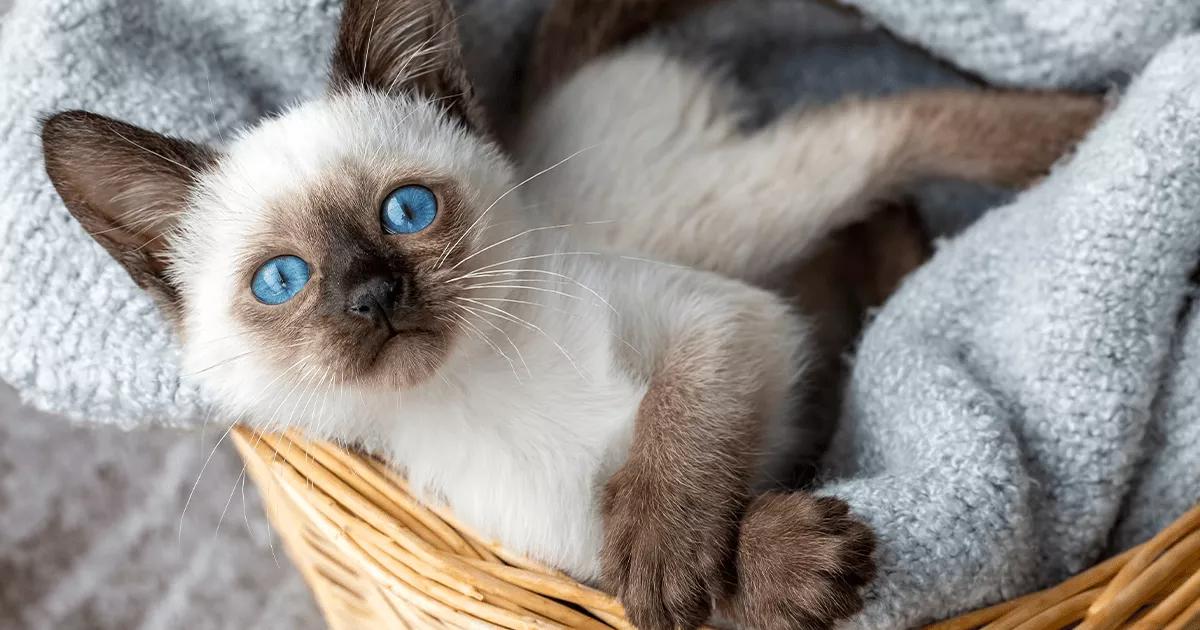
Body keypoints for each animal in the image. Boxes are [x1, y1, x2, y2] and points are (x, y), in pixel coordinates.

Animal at [39, 2, 1104, 624]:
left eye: (407, 212)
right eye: (281, 280)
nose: (375, 295)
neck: (489, 387)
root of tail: (551, 108)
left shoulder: (725, 320)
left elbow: (675, 443)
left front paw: (679, 548)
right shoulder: (546, 553)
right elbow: (638, 580)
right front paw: (787, 562)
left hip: (746, 216)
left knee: (893, 128)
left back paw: (1085, 128)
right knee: (873, 214)